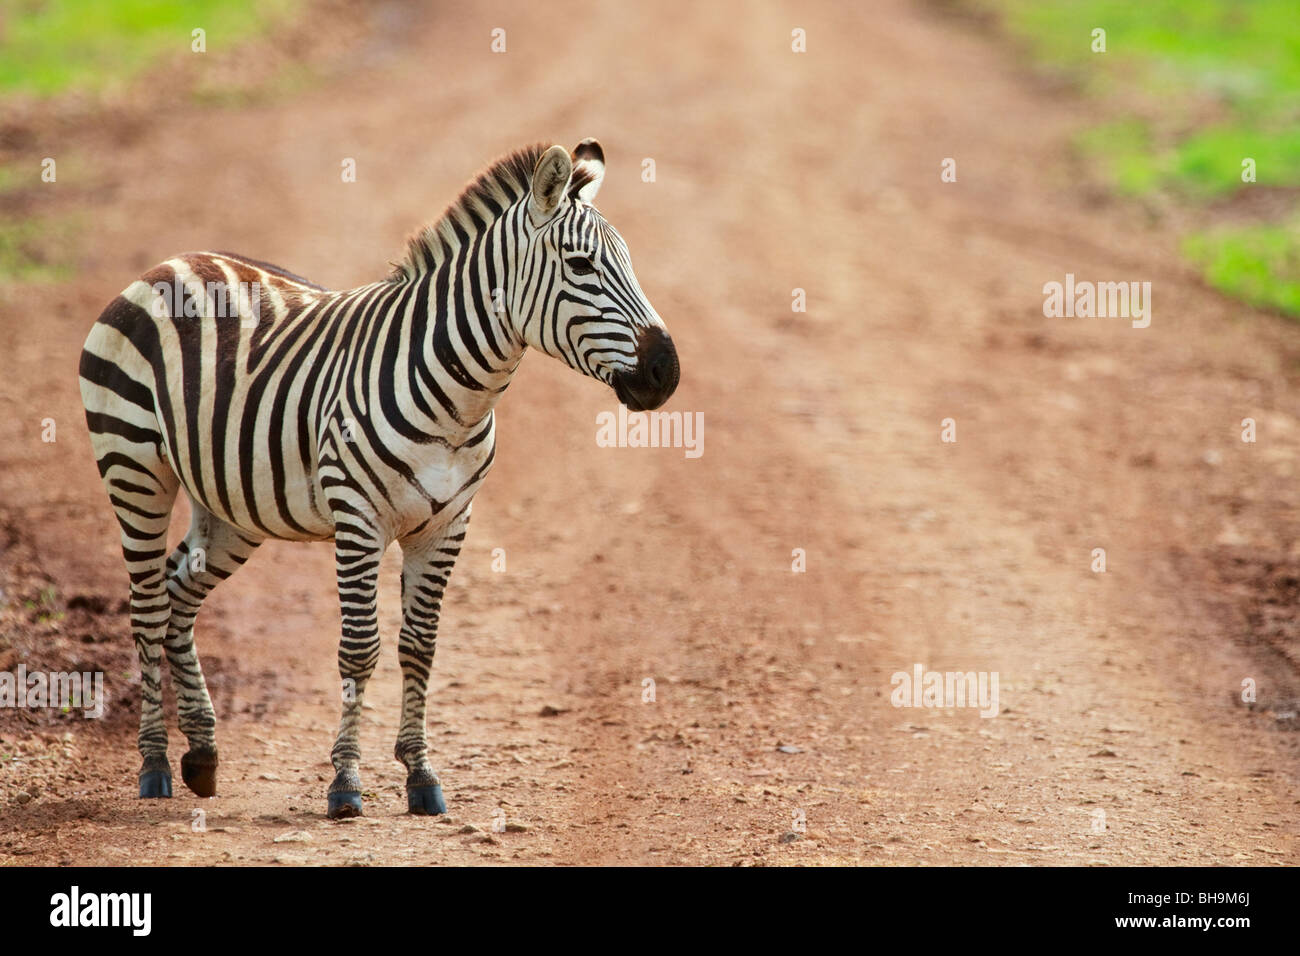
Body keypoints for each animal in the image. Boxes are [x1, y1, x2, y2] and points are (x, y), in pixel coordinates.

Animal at [78, 139, 679, 818]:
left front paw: (421, 775)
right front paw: (345, 783)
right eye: (580, 265)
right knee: (149, 606)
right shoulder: (358, 519)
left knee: (180, 593)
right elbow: (359, 649)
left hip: (230, 505)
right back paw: (154, 763)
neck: (458, 400)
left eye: (629, 262)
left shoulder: (448, 526)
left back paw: (202, 755)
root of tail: (171, 262)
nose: (666, 372)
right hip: (134, 465)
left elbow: (420, 646)